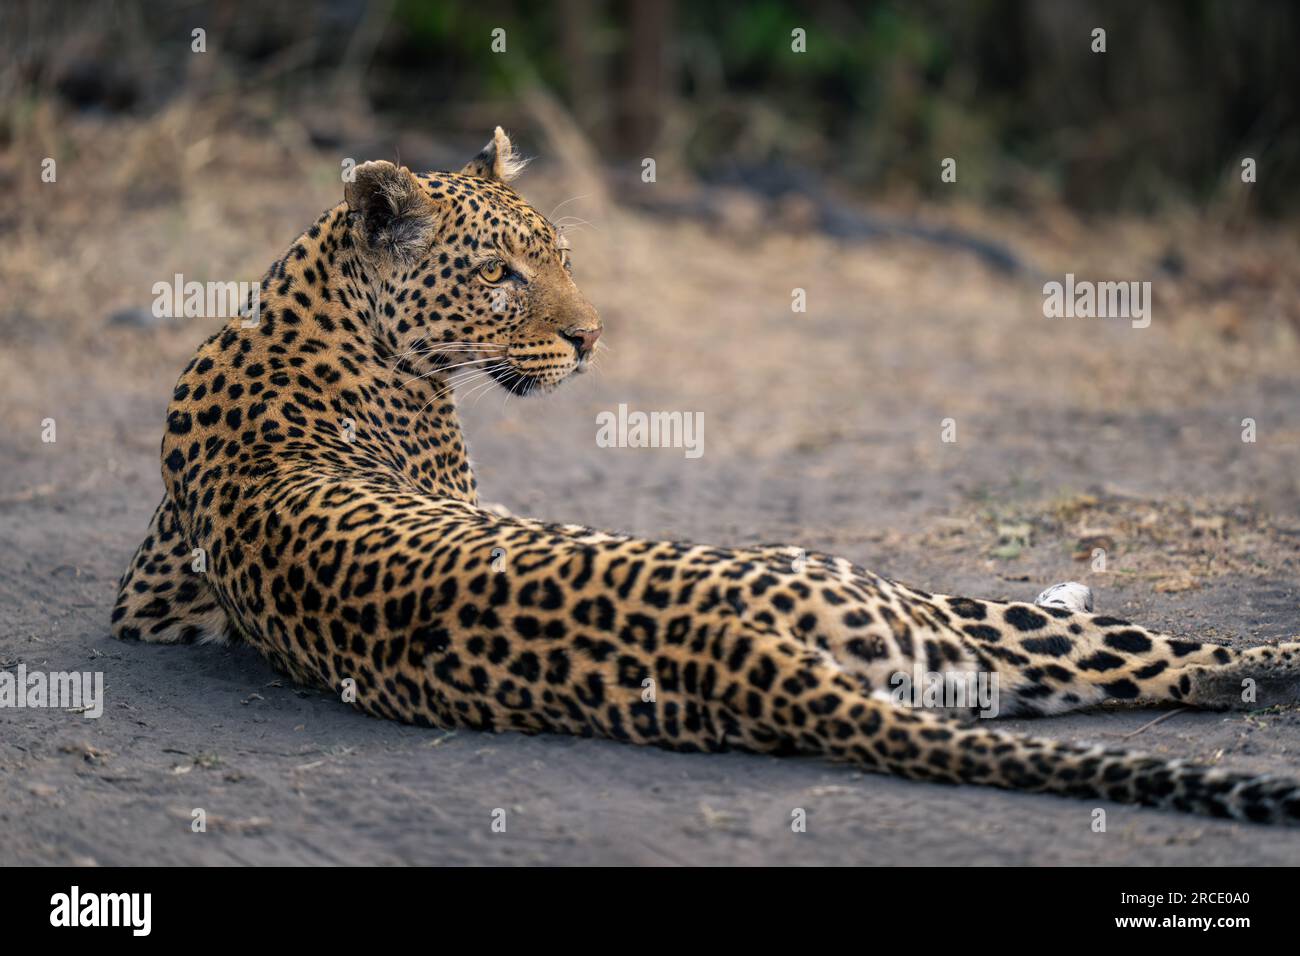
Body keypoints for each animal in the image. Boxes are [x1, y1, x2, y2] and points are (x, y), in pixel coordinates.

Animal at [112, 127, 1300, 826]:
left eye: (562, 255)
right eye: (499, 275)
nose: (591, 338)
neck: (308, 299)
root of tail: (734, 652)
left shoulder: (152, 600)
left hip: (940, 674)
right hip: (917, 606)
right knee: (1160, 656)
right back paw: (1264, 656)